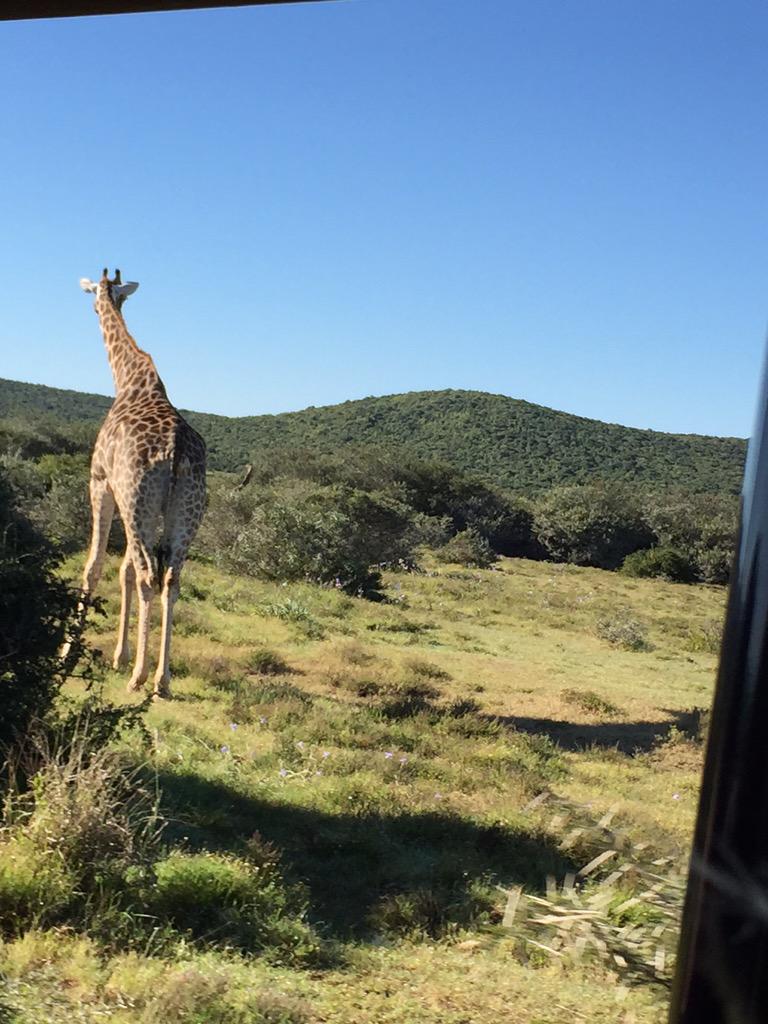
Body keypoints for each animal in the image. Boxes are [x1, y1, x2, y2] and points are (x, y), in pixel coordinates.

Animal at [74, 268, 206, 698]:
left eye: (93, 299)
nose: (97, 307)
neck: (129, 379)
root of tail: (176, 448)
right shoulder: (130, 501)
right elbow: (124, 571)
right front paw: (120, 655)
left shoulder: (101, 482)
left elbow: (95, 565)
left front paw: (69, 652)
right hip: (181, 510)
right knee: (171, 577)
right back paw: (161, 679)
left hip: (137, 503)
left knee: (150, 574)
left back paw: (140, 677)